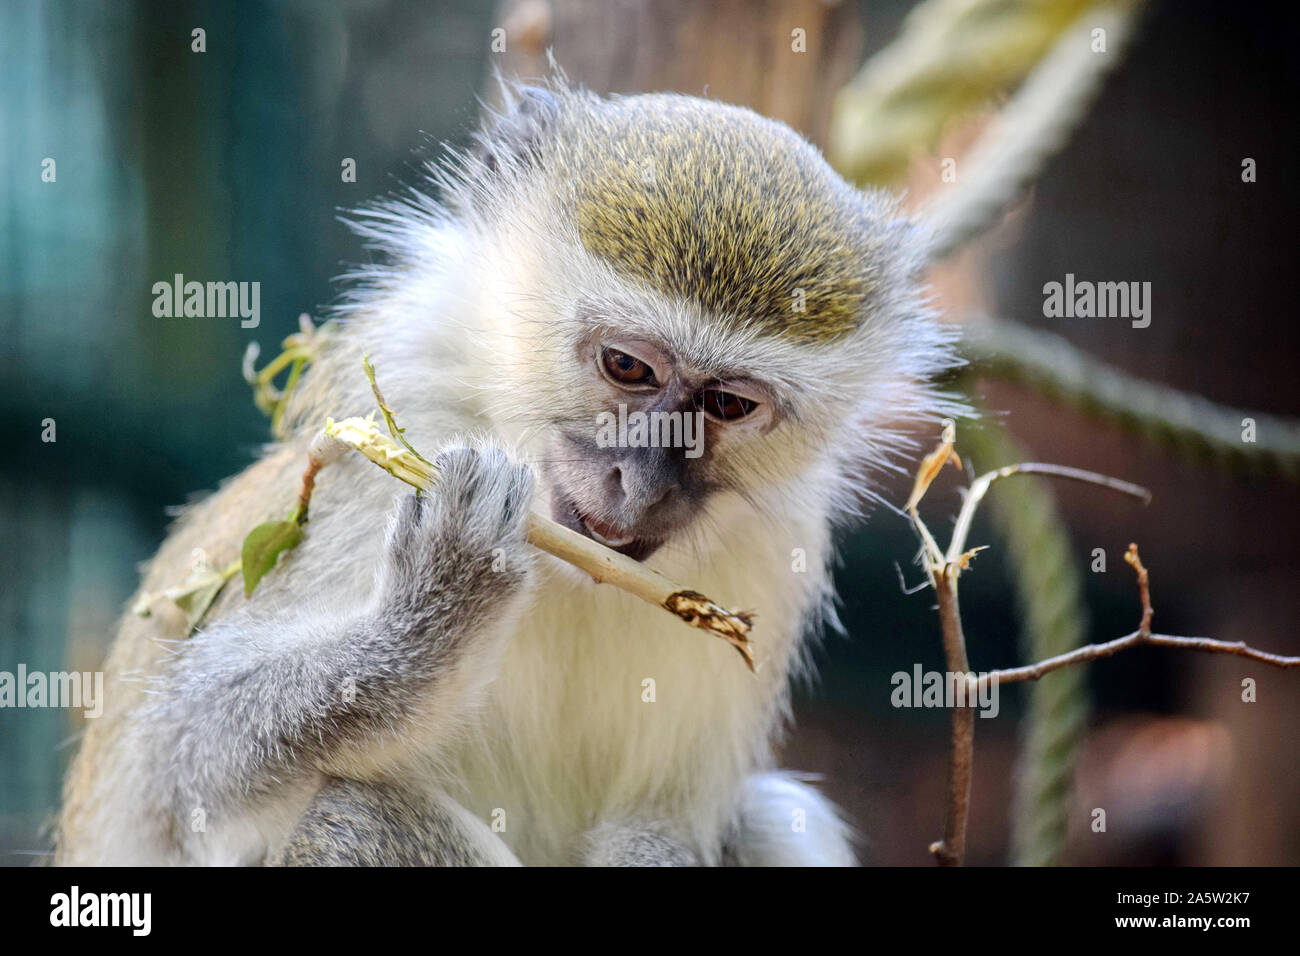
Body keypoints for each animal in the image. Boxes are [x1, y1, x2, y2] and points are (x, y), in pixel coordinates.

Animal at [56, 78, 958, 866]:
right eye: (627, 367)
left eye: (729, 405)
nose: (644, 484)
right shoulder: (391, 446)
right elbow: (180, 760)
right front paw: (438, 606)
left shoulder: (776, 555)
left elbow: (663, 820)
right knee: (348, 813)